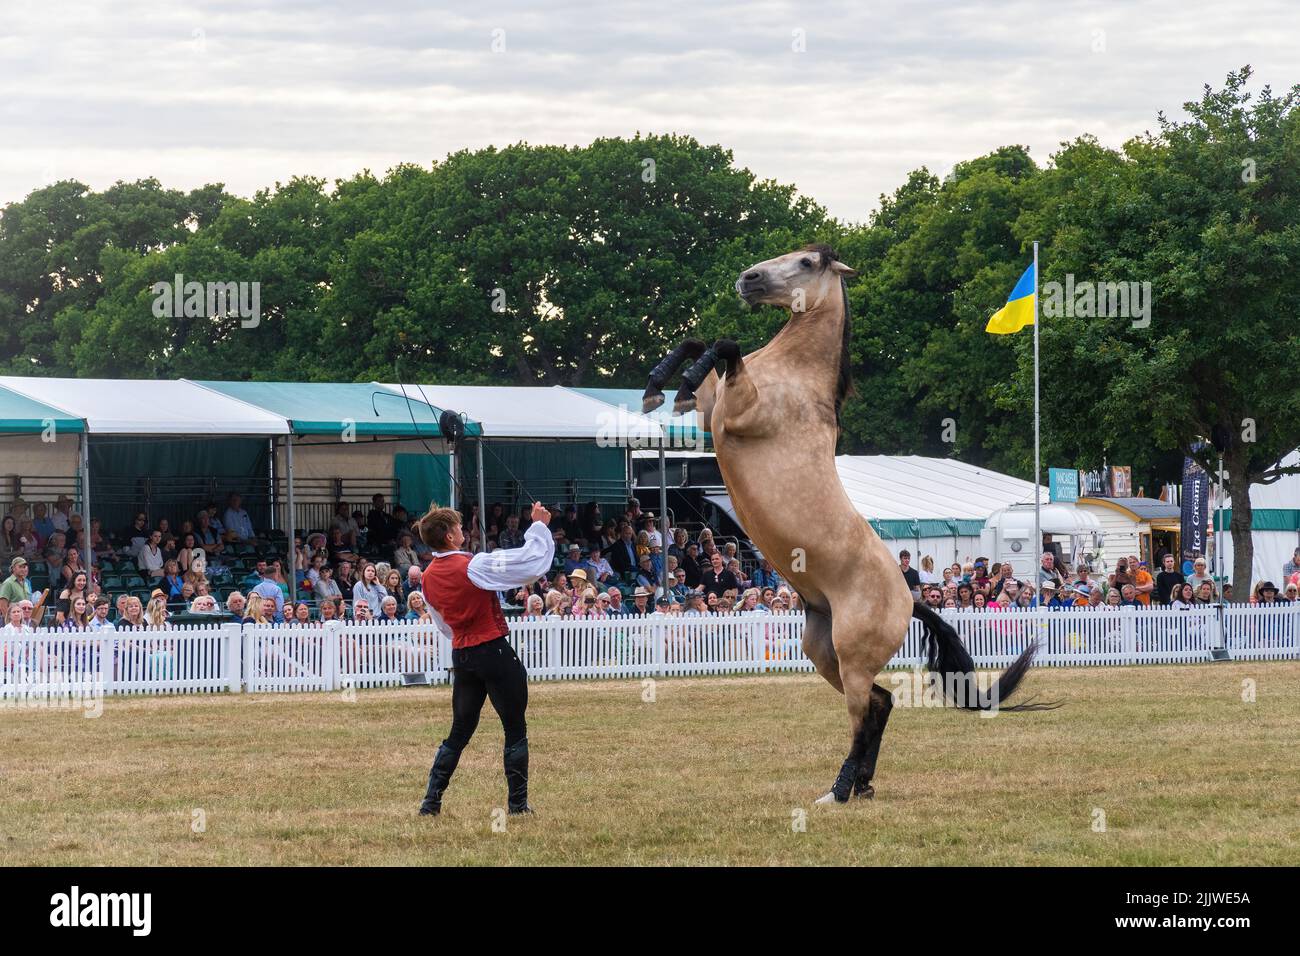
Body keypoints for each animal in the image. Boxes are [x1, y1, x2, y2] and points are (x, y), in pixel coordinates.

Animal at [642, 243, 1052, 803]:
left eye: (806, 263)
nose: (747, 280)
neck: (792, 373)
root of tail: (910, 598)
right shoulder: (716, 413)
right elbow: (699, 343)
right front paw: (659, 385)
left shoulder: (743, 411)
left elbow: (726, 345)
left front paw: (674, 387)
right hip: (823, 651)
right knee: (882, 703)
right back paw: (859, 786)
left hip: (852, 656)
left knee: (865, 712)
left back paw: (840, 791)